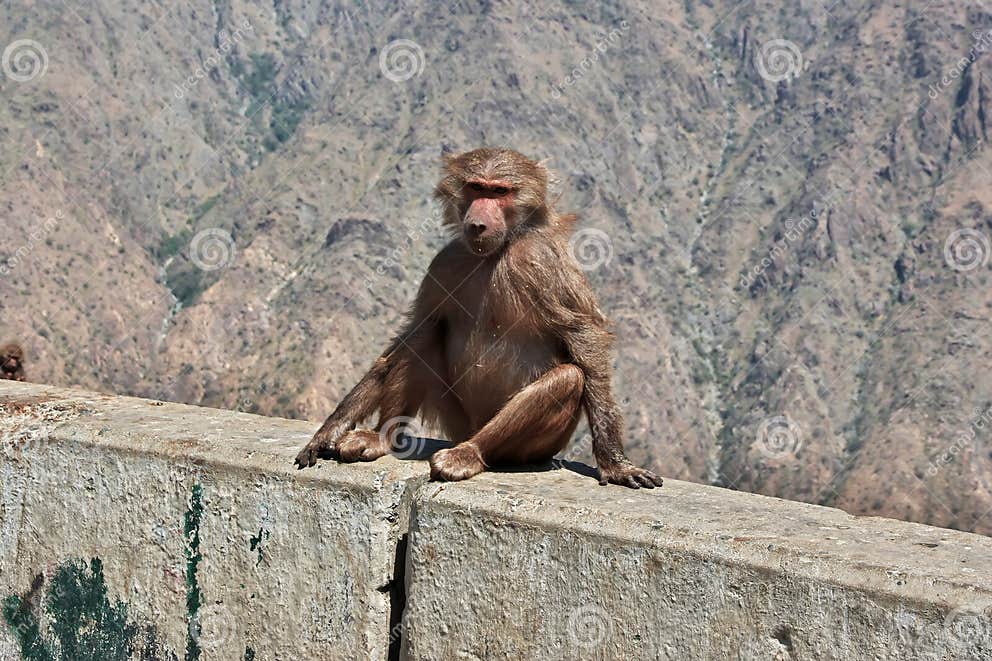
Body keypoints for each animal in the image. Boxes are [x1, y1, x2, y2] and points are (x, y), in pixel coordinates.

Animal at [295, 147, 663, 489]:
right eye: (476, 188)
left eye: (500, 191)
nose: (478, 223)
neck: (496, 253)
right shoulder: (444, 263)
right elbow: (413, 332)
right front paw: (330, 429)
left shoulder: (543, 261)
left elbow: (584, 336)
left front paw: (615, 462)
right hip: (458, 420)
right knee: (425, 337)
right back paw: (382, 438)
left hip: (531, 447)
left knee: (568, 378)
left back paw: (468, 455)